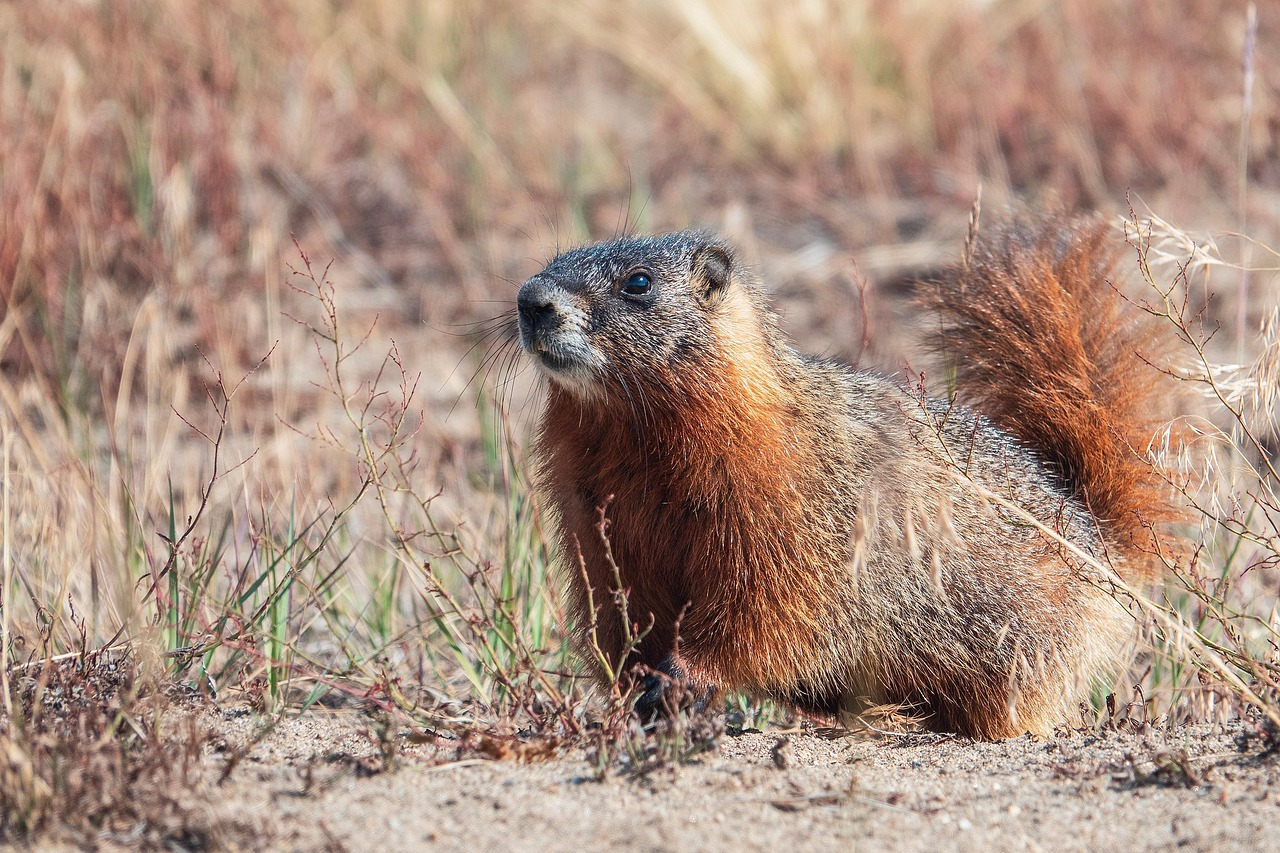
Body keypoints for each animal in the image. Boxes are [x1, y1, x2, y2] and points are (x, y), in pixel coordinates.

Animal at [514, 214, 1182, 739]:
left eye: (639, 283)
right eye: (552, 262)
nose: (529, 298)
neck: (627, 431)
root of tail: (1094, 528)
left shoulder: (776, 491)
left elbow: (769, 596)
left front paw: (686, 675)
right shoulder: (594, 511)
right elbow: (621, 598)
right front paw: (642, 693)